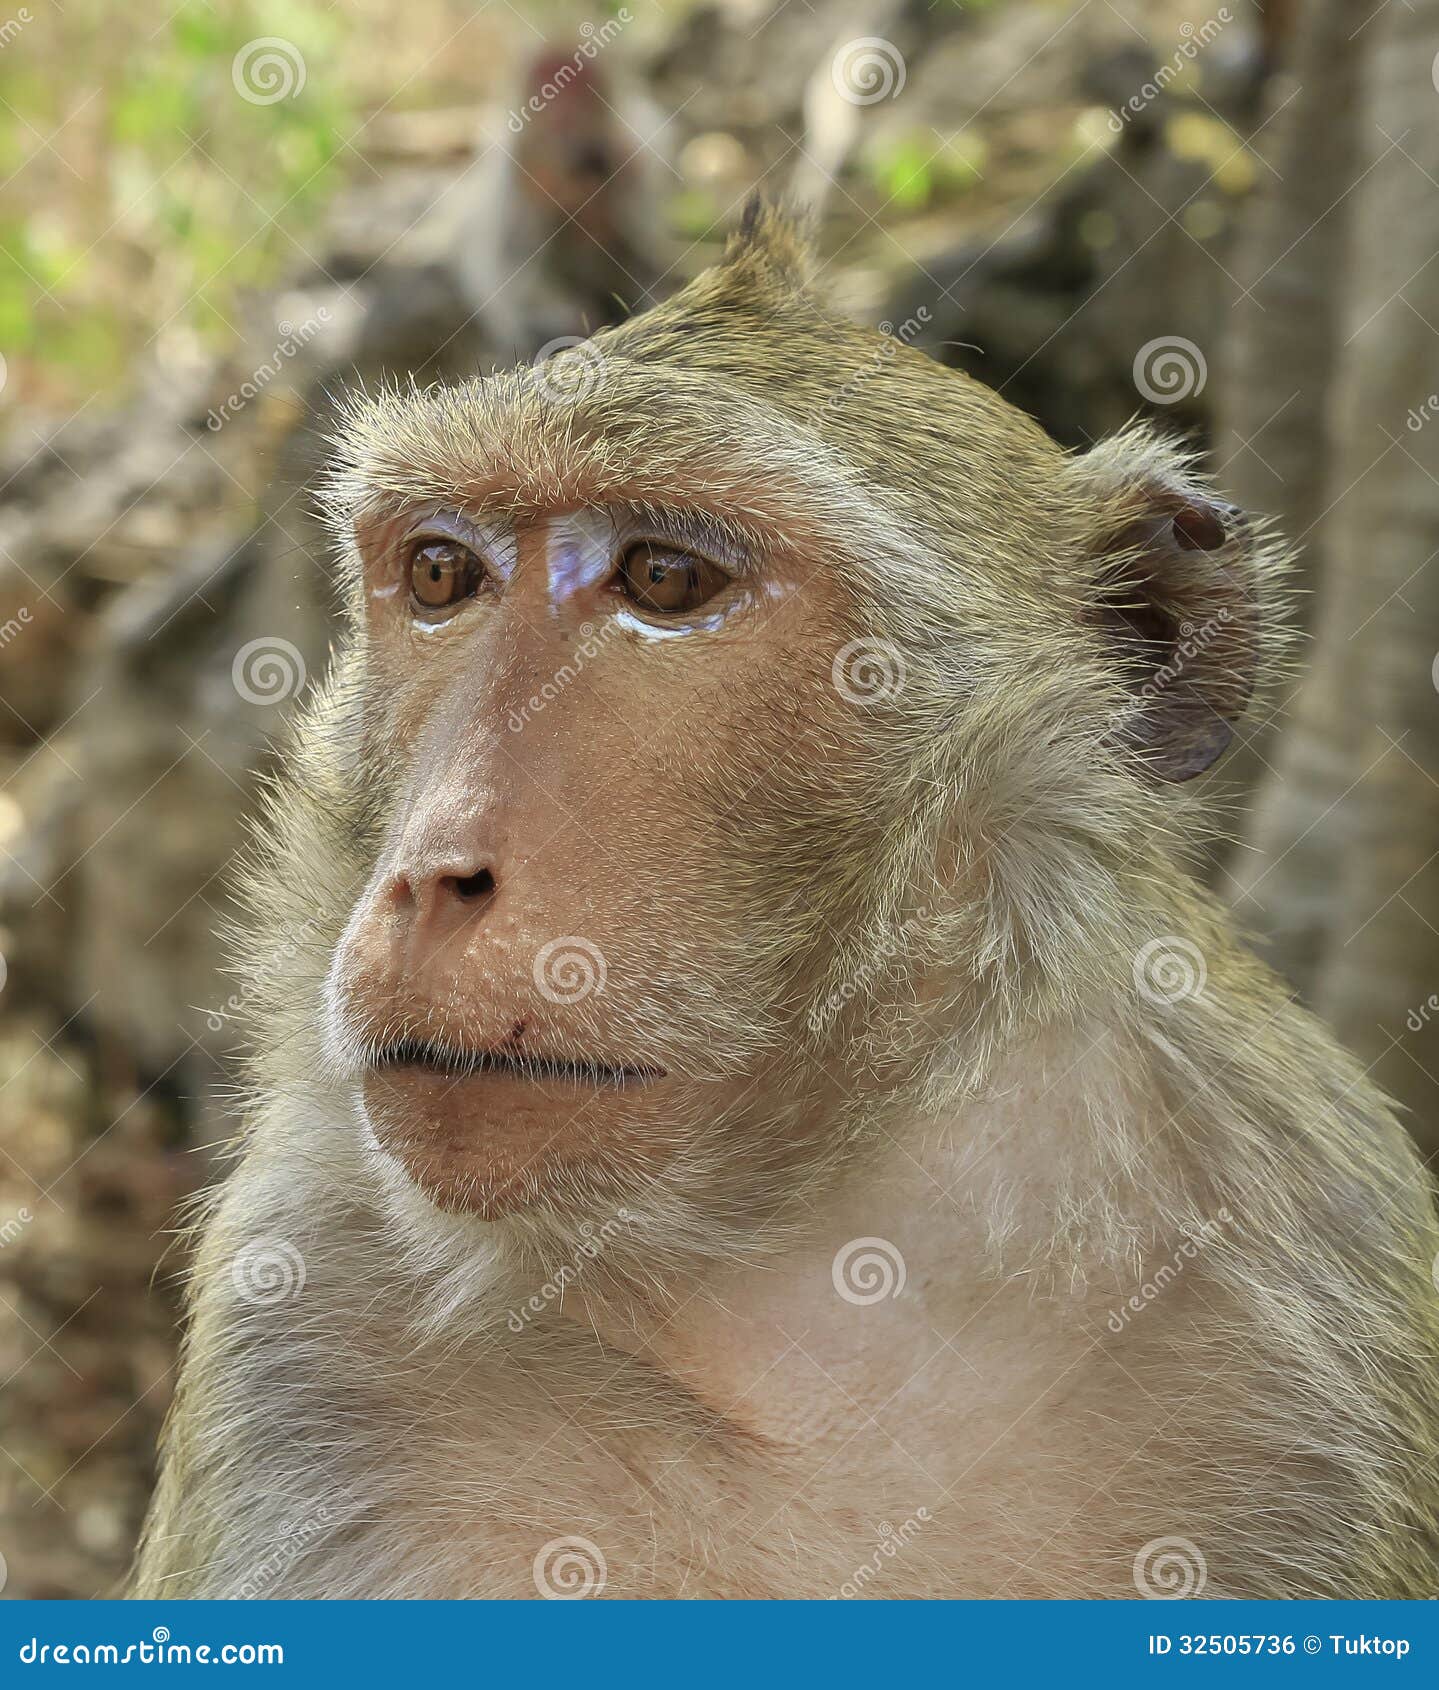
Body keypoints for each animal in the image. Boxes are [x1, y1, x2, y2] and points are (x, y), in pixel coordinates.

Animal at [131, 200, 1439, 1601]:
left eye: (663, 580)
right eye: (438, 574)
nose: (433, 874)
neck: (797, 1285)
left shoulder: (1312, 1301)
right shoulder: (299, 1318)